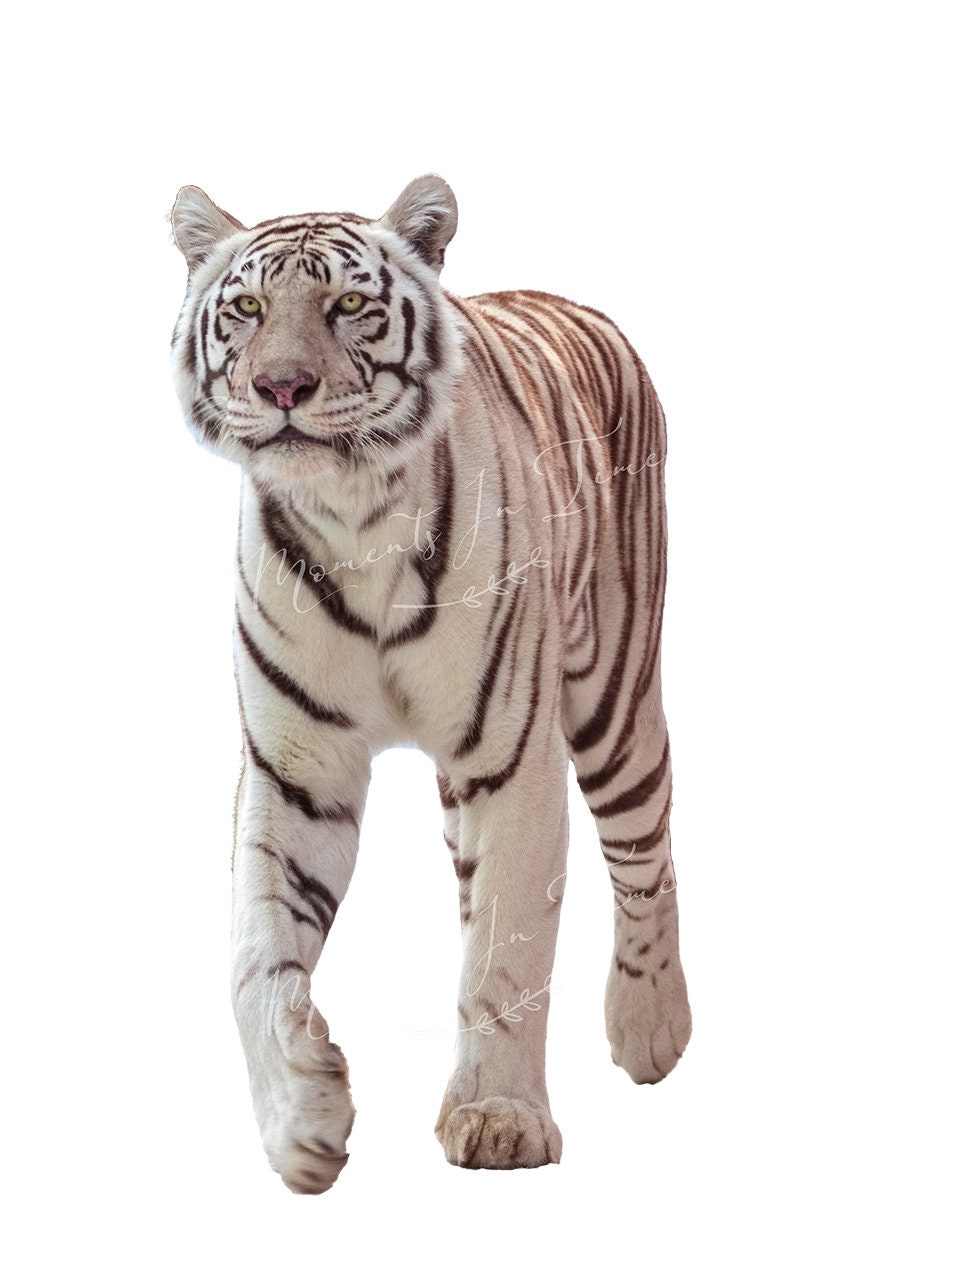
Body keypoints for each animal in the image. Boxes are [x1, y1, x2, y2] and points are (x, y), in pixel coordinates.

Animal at [170, 175, 692, 1193]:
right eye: (246, 309)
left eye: (347, 305)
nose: (279, 387)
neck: (348, 513)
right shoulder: (291, 766)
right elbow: (255, 954)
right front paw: (303, 1118)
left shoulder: (514, 757)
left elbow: (507, 945)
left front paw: (498, 1120)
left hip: (613, 695)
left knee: (646, 851)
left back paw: (652, 1027)